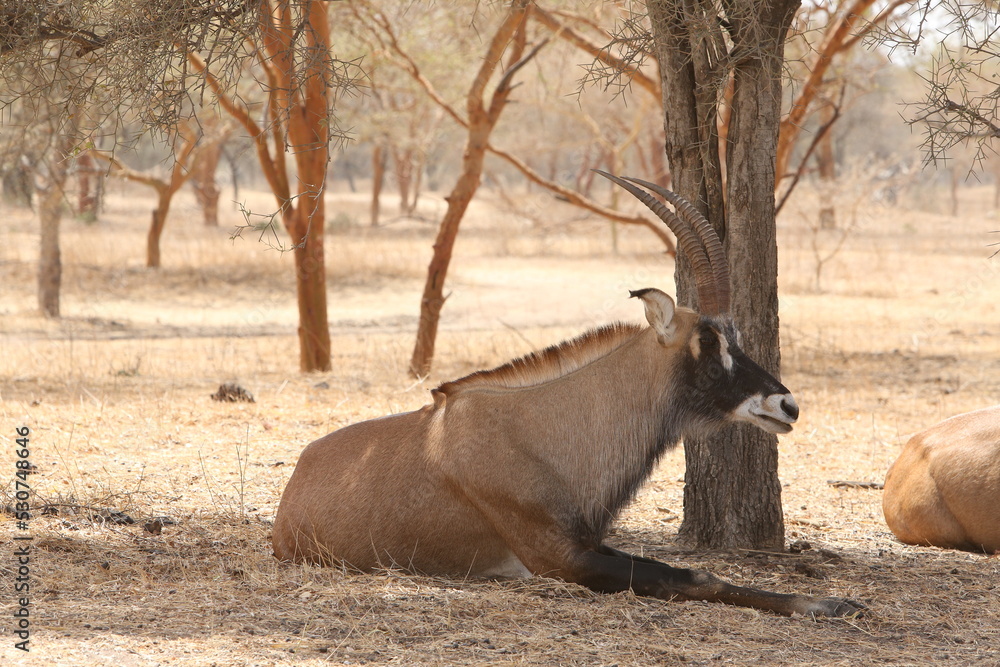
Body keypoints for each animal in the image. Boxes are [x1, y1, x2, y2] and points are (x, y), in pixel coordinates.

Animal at [272, 172, 864, 617]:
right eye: (707, 341)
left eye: (734, 335)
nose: (786, 404)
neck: (544, 429)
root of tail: (294, 486)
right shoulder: (559, 559)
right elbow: (688, 576)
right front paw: (824, 603)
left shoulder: (585, 541)